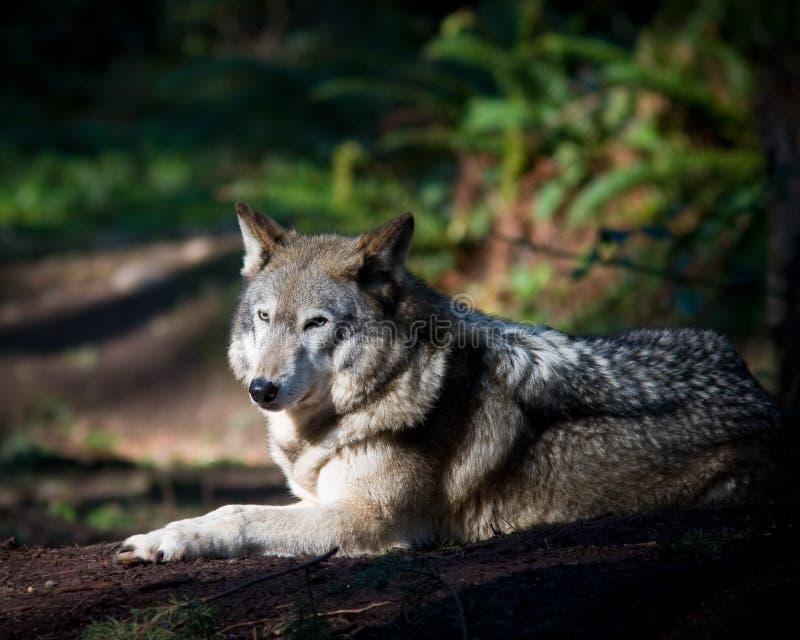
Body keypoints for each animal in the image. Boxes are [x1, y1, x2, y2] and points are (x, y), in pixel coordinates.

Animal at [118, 202, 782, 562]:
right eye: (262, 317)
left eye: (316, 323)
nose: (262, 390)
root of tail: (762, 393)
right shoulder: (322, 499)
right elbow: (235, 506)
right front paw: (166, 533)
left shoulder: (365, 521)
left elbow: (240, 514)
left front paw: (168, 539)